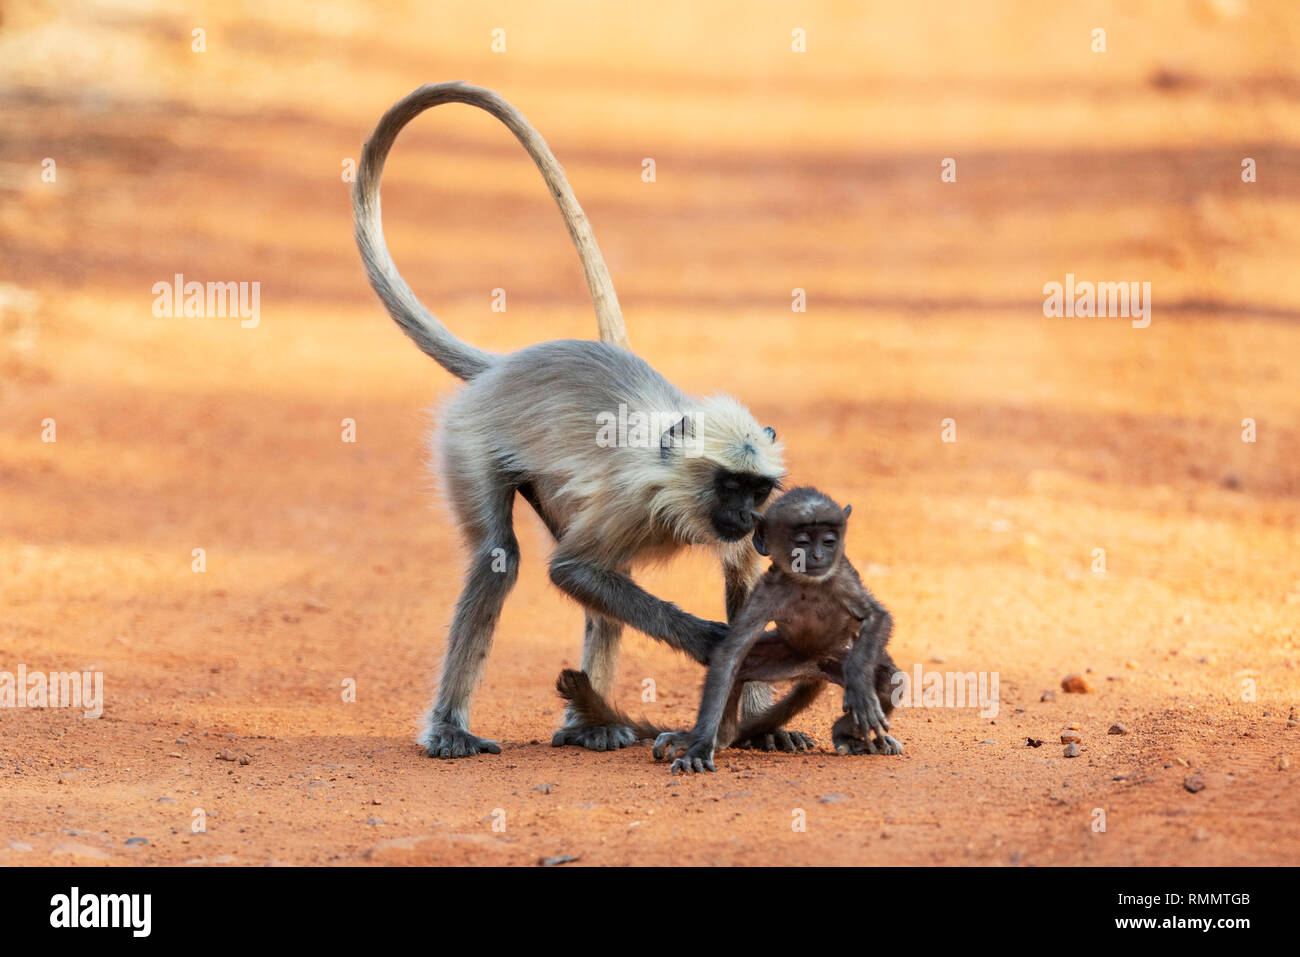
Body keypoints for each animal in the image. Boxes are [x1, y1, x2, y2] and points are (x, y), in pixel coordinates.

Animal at [353, 82, 807, 759]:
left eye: (757, 491)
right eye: (730, 485)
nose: (748, 518)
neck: (666, 464)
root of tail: (501, 367)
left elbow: (741, 586)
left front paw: (757, 722)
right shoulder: (630, 500)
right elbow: (567, 569)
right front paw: (707, 644)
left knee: (600, 578)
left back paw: (587, 722)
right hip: (469, 439)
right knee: (500, 556)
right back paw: (452, 728)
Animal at [555, 487, 903, 772]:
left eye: (829, 541)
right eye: (802, 542)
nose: (818, 556)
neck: (808, 585)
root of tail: (812, 662)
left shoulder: (840, 577)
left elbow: (877, 618)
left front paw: (860, 689)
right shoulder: (770, 590)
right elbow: (731, 651)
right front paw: (699, 748)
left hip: (836, 656)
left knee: (890, 682)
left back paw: (849, 732)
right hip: (783, 656)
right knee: (736, 668)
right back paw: (718, 737)